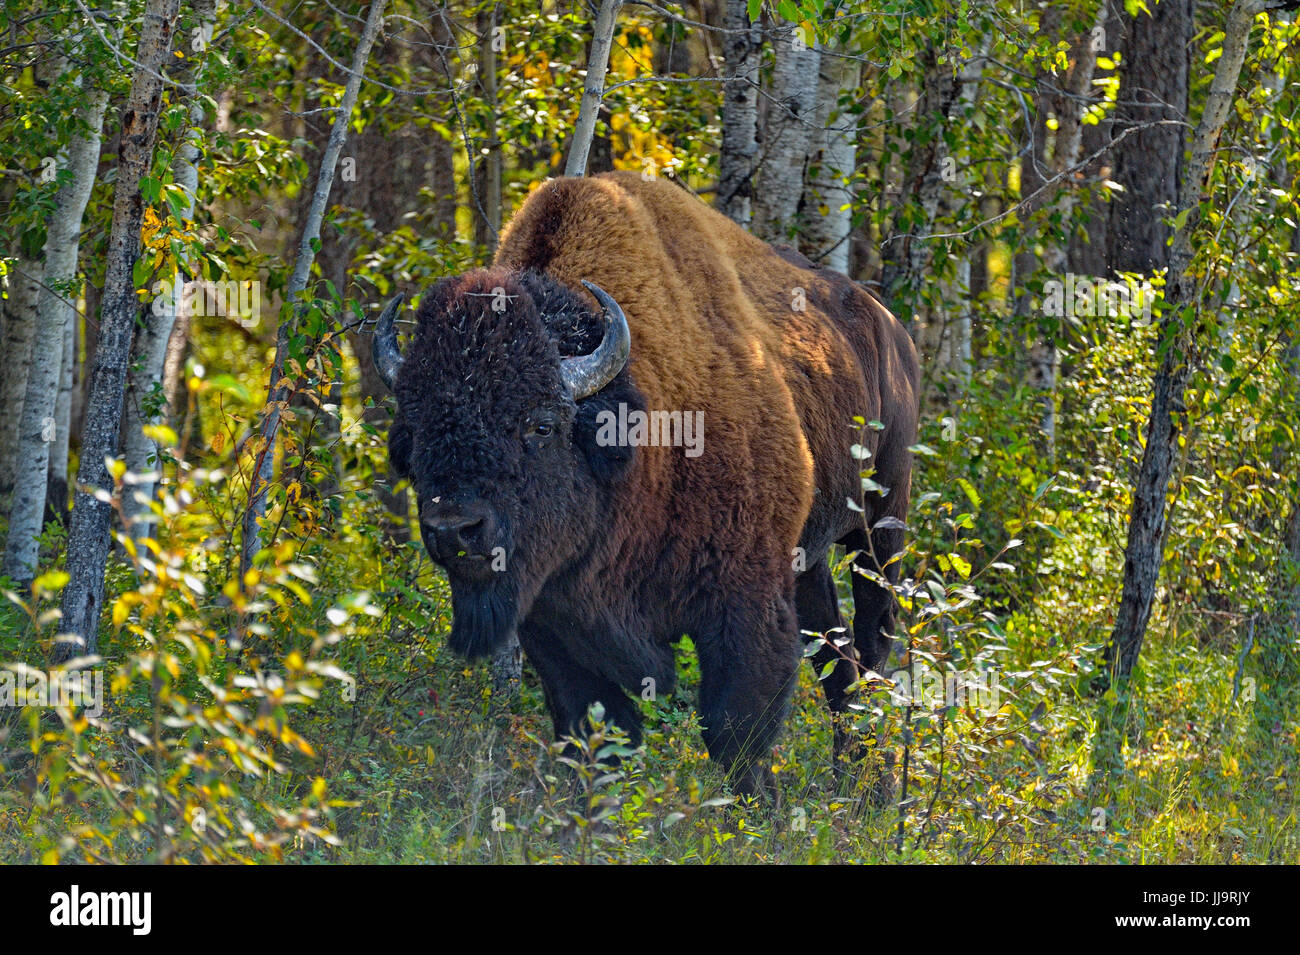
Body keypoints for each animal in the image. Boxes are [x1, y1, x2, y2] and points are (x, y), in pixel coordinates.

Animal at [372, 171, 919, 797]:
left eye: (541, 423)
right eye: (413, 435)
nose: (454, 528)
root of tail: (891, 327)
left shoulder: (743, 601)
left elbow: (735, 731)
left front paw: (765, 811)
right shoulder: (555, 625)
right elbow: (592, 734)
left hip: (882, 520)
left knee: (874, 637)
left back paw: (874, 786)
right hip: (809, 557)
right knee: (835, 653)